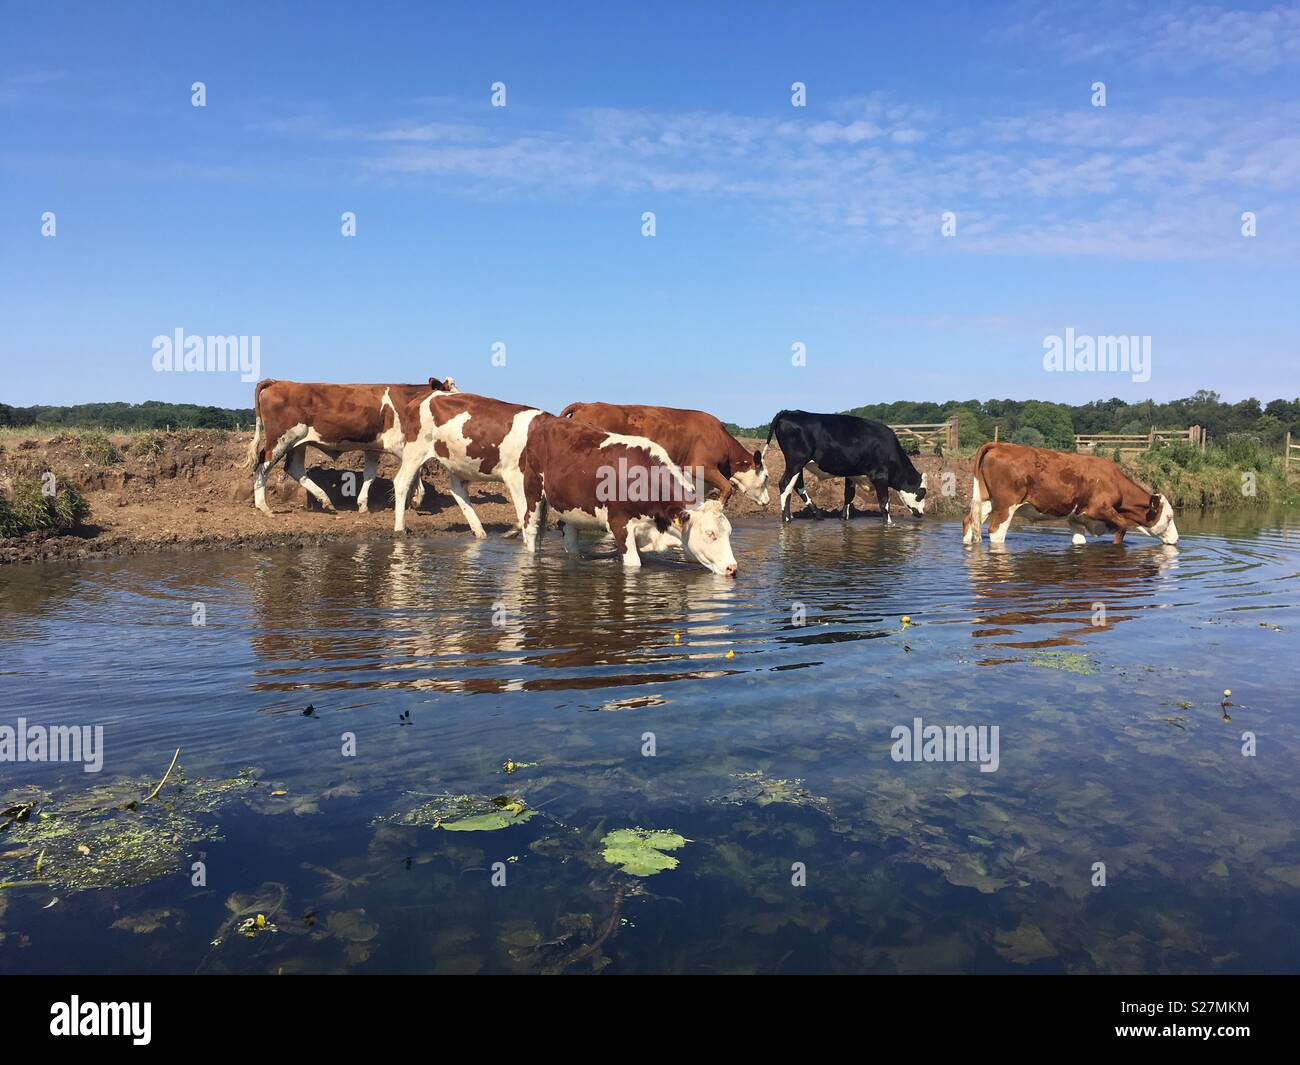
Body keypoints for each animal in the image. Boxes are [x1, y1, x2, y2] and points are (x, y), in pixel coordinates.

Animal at [242, 377, 456, 517]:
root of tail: (278, 381)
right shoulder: (400, 444)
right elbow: (415, 470)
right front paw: (417, 498)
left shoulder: (373, 447)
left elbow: (370, 475)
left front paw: (363, 505)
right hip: (280, 439)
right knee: (261, 468)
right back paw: (264, 506)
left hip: (298, 443)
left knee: (294, 469)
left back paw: (325, 500)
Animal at [391, 390, 543, 537]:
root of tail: (424, 396)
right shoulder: (515, 476)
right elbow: (525, 511)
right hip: (415, 451)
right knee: (401, 482)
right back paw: (400, 529)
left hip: (458, 462)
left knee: (457, 489)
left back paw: (479, 532)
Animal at [517, 413, 738, 576]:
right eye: (710, 533)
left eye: (729, 533)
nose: (732, 568)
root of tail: (549, 421)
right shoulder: (620, 524)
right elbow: (633, 565)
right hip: (533, 490)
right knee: (531, 526)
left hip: (570, 506)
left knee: (570, 537)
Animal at [763, 410, 928, 524]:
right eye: (922, 493)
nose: (921, 513)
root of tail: (789, 412)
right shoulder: (879, 476)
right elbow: (884, 501)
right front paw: (888, 523)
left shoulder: (852, 473)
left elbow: (849, 496)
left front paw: (845, 518)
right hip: (796, 461)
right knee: (785, 484)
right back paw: (786, 519)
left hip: (798, 465)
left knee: (797, 486)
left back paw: (816, 514)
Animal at [961, 442, 1179, 546]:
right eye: (1169, 517)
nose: (1177, 539)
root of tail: (999, 445)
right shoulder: (1100, 509)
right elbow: (1123, 526)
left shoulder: (1075, 517)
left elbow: (1079, 541)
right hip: (1006, 506)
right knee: (996, 532)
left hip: (987, 502)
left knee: (969, 522)